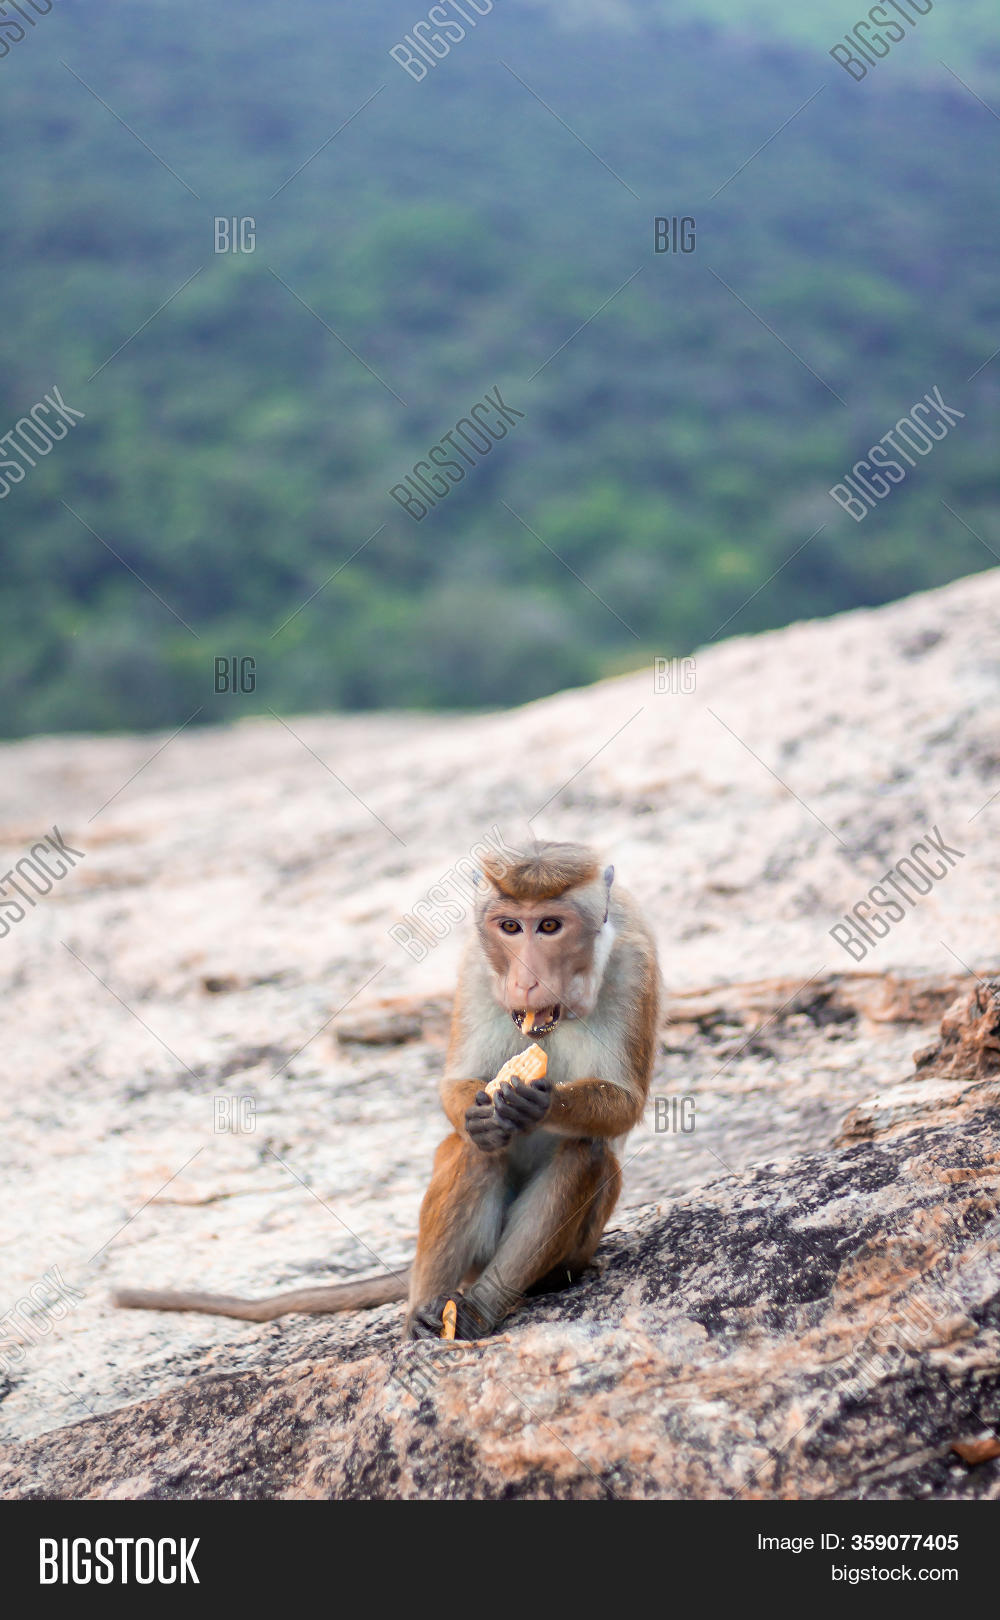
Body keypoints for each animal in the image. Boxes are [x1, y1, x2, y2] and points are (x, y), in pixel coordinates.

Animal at [114, 840, 661, 1341]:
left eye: (550, 926)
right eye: (510, 928)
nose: (525, 982)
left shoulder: (634, 963)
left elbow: (624, 1104)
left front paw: (537, 1104)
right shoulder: (476, 965)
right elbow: (458, 1086)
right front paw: (486, 1115)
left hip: (575, 1251)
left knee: (584, 1152)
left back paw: (482, 1307)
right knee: (473, 1150)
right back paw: (426, 1309)